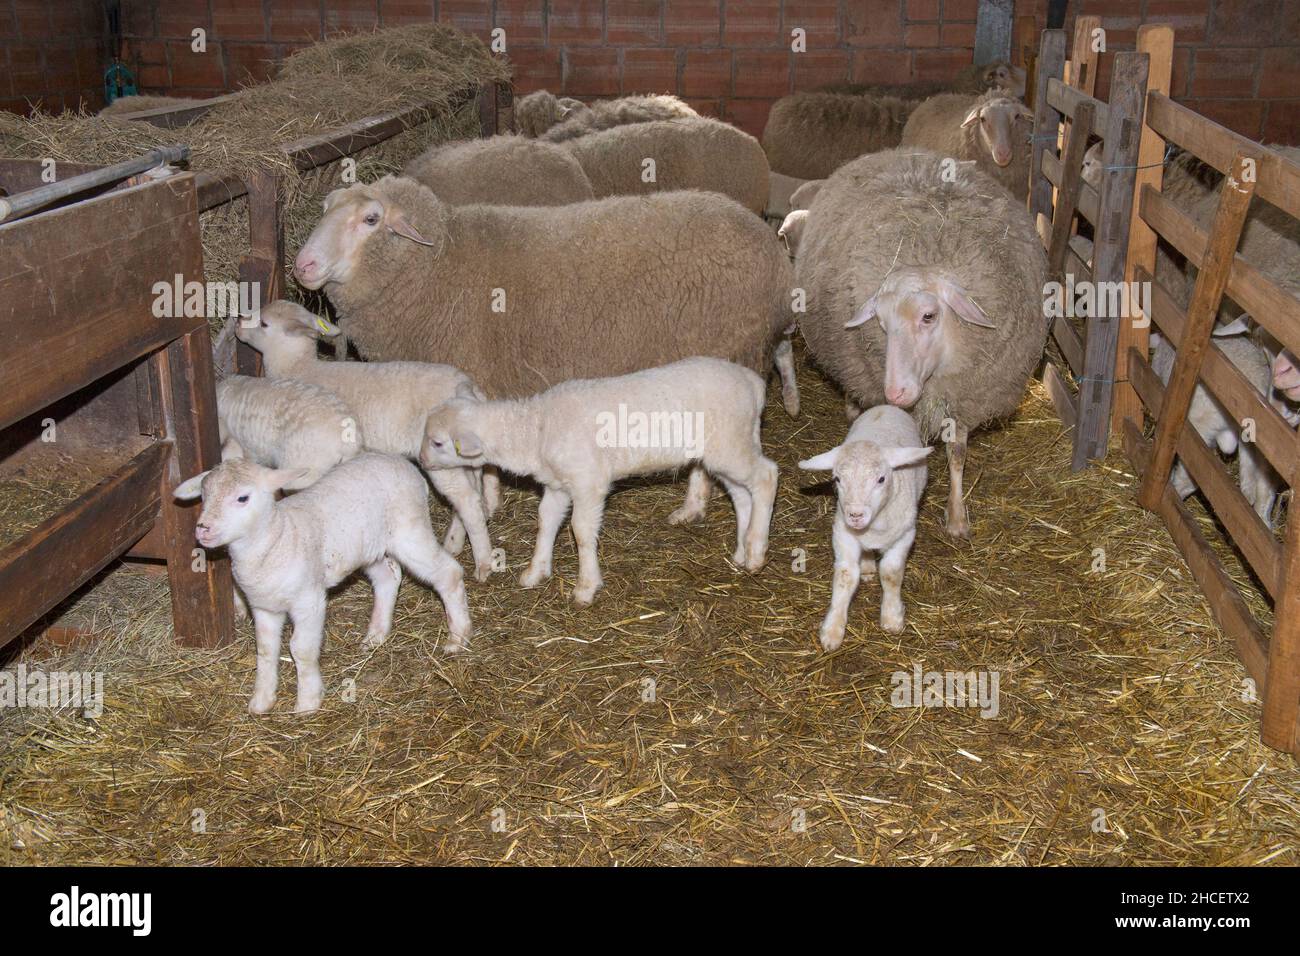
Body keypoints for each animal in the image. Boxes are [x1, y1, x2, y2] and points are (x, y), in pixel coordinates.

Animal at [173, 454, 472, 714]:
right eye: (204, 496)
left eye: (242, 498)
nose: (203, 529)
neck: (277, 537)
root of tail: (402, 463)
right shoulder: (264, 607)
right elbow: (266, 651)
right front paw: (262, 701)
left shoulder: (309, 600)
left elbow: (301, 649)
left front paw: (308, 701)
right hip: (367, 545)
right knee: (389, 577)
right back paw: (375, 636)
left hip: (409, 530)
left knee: (448, 573)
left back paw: (458, 638)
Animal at [233, 300, 500, 582]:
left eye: (264, 323)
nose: (238, 323)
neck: (298, 367)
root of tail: (471, 388)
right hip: (461, 458)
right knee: (472, 493)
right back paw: (455, 542)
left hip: (439, 457)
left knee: (468, 501)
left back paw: (483, 563)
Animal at [418, 357, 779, 607]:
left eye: (437, 442)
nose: (421, 461)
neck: (535, 429)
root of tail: (753, 383)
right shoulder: (559, 484)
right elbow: (546, 521)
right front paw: (536, 572)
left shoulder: (588, 482)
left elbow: (580, 530)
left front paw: (586, 586)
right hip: (729, 448)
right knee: (742, 494)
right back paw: (742, 552)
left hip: (730, 443)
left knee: (766, 477)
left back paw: (756, 551)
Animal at [796, 148, 1048, 539]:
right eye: (881, 323)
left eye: (928, 316)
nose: (896, 392)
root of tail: (902, 151)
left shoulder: (963, 396)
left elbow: (957, 454)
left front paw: (957, 518)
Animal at [799, 405, 932, 648]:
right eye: (837, 479)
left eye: (881, 479)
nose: (855, 515)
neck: (873, 526)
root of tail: (885, 407)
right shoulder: (843, 535)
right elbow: (845, 577)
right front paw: (833, 630)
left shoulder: (905, 536)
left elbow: (891, 573)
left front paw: (891, 617)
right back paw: (868, 565)